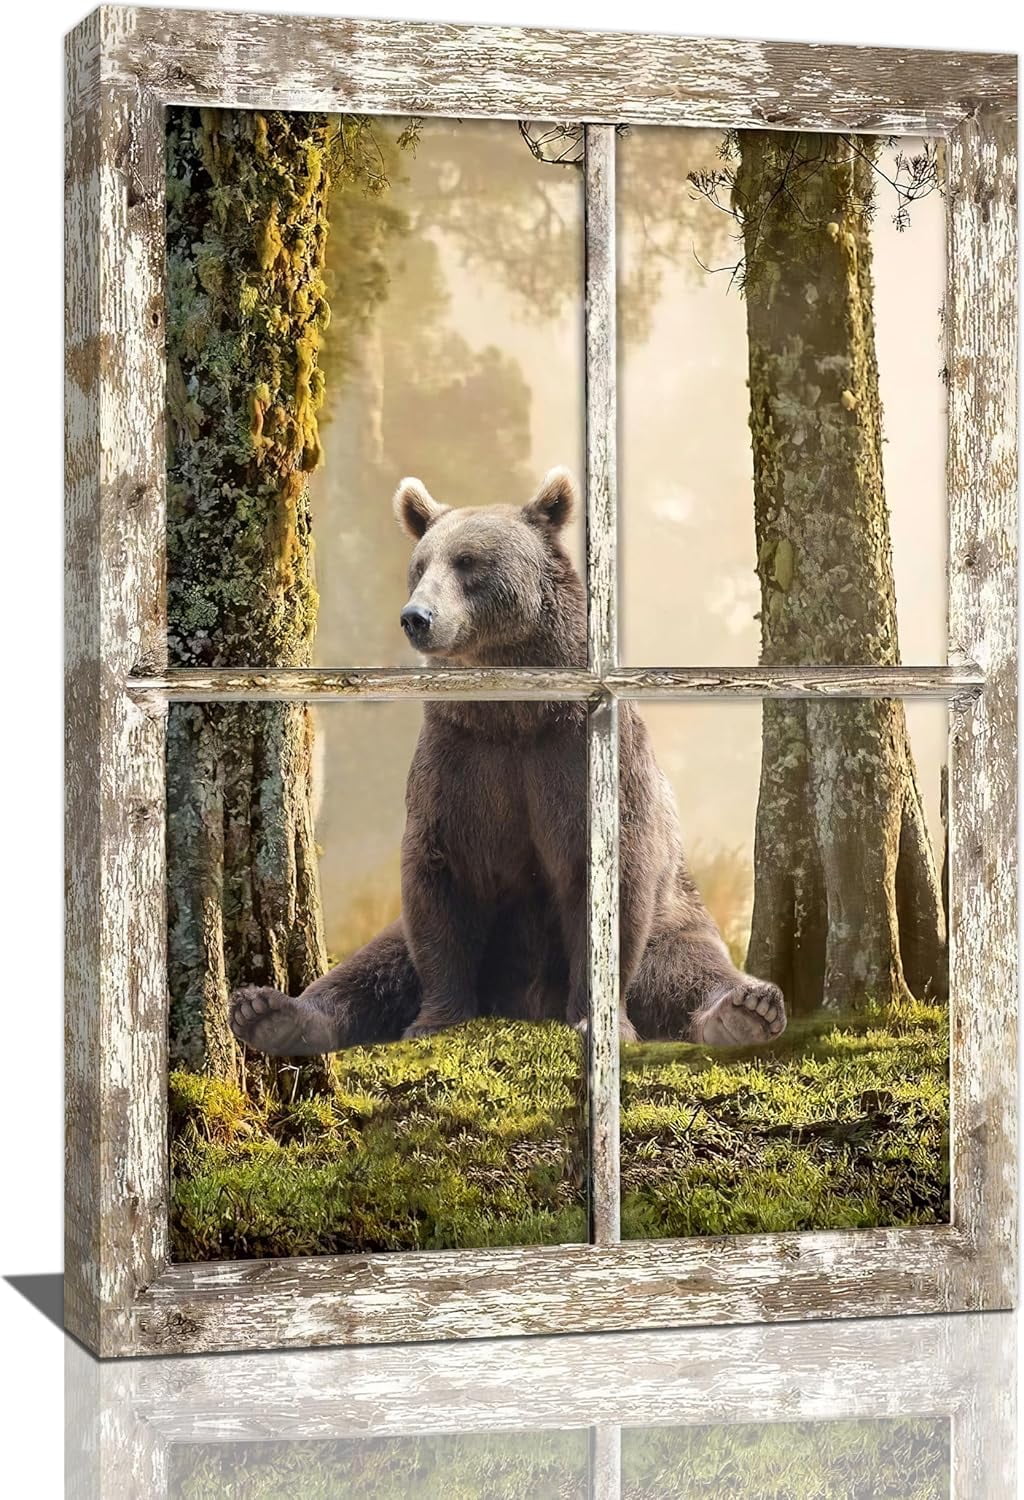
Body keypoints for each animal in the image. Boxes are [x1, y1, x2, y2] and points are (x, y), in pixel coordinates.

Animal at [230, 468, 786, 1057]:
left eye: (468, 562)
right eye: (421, 565)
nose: (416, 617)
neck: (515, 715)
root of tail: (525, 1003)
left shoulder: (573, 758)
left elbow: (612, 877)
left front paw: (596, 1020)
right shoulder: (461, 759)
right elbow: (438, 882)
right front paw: (437, 1018)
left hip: (678, 913)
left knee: (692, 968)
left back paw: (747, 1010)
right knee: (373, 964)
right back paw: (272, 1012)